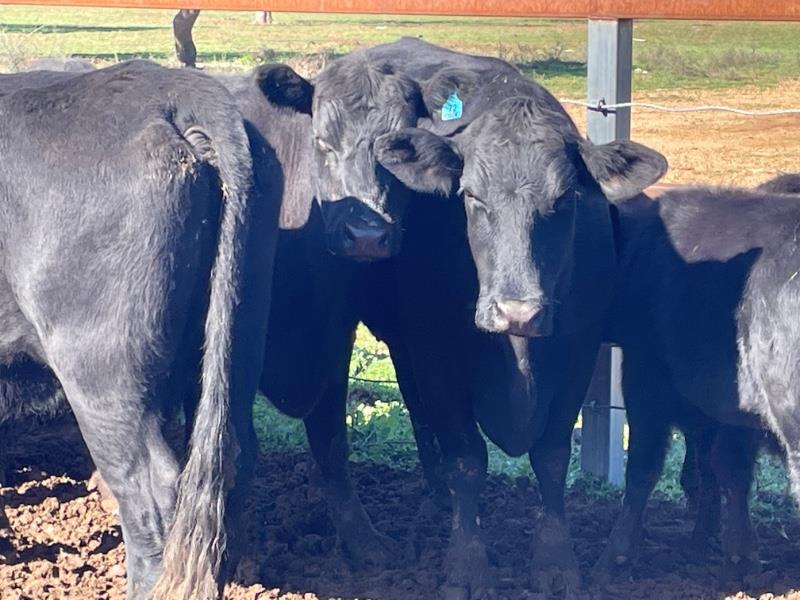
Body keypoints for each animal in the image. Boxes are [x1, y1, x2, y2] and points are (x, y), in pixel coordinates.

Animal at [595, 173, 800, 584]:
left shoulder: (646, 375)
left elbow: (644, 467)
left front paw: (616, 558)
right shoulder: (728, 405)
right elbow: (727, 469)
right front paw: (737, 556)